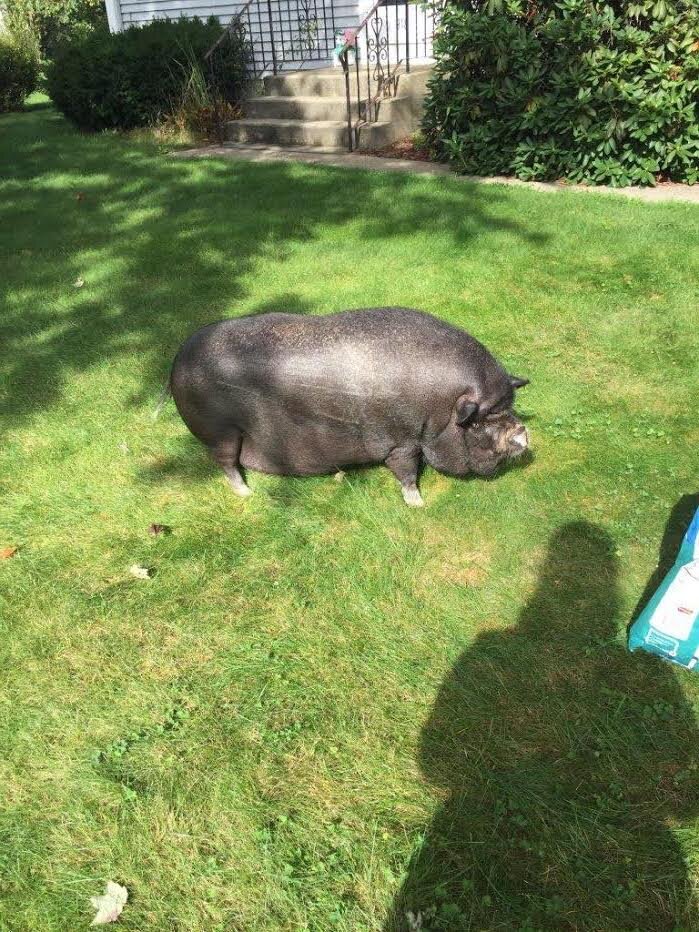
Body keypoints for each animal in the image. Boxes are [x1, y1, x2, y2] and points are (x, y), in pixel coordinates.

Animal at [167, 307, 529, 507]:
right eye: (479, 422)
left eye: (509, 407)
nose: (524, 434)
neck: (438, 409)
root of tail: (177, 361)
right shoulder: (400, 441)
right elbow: (406, 471)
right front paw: (418, 504)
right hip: (220, 432)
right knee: (226, 464)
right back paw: (246, 493)